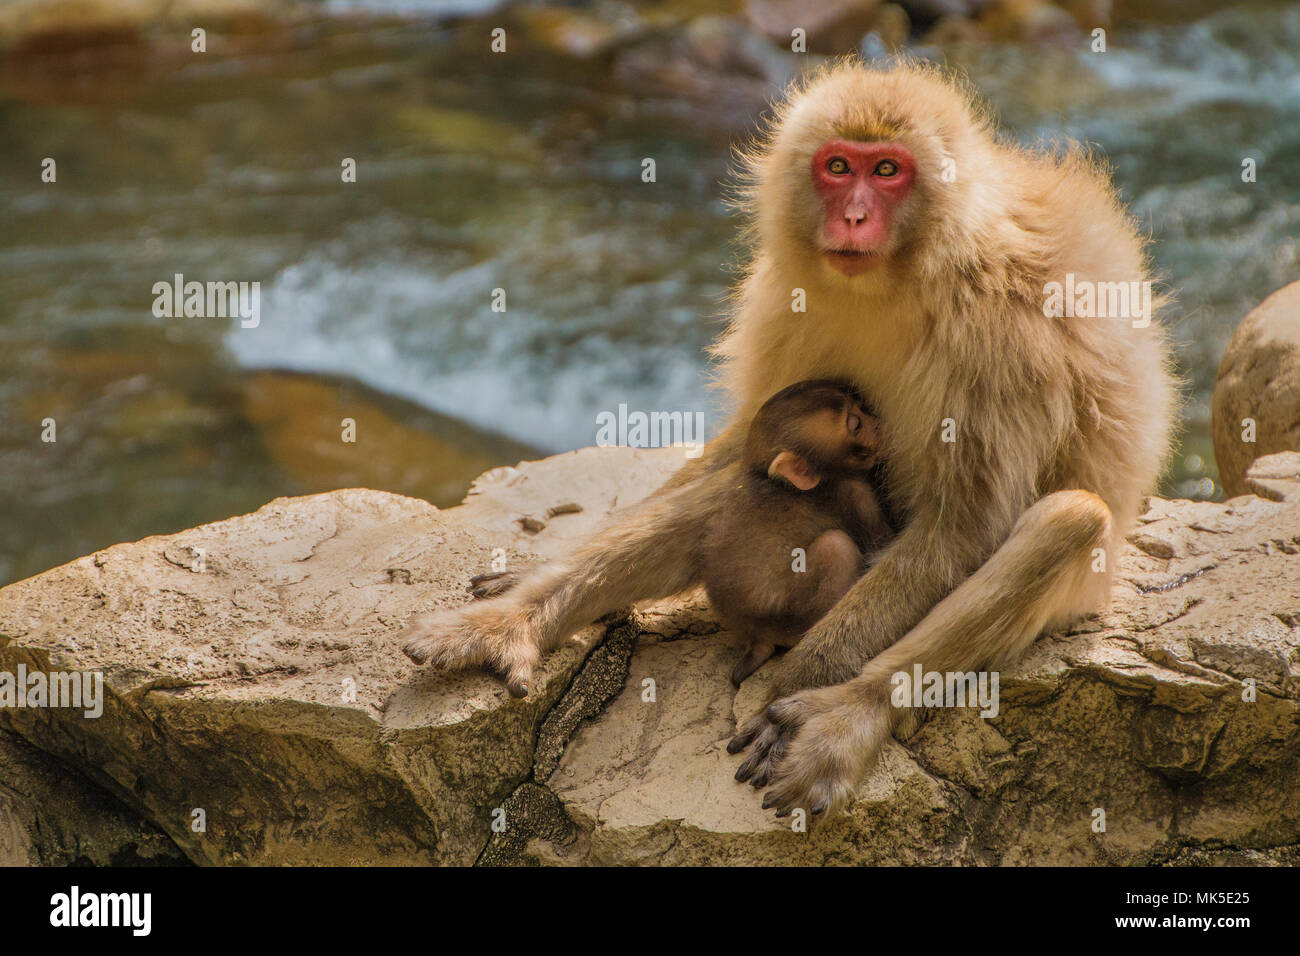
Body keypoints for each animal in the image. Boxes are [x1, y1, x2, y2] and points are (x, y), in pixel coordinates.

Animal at [703, 380, 892, 686]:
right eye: (855, 424)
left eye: (860, 407)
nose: (879, 422)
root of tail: (757, 637)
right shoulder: (853, 494)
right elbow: (880, 543)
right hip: (791, 618)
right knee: (835, 546)